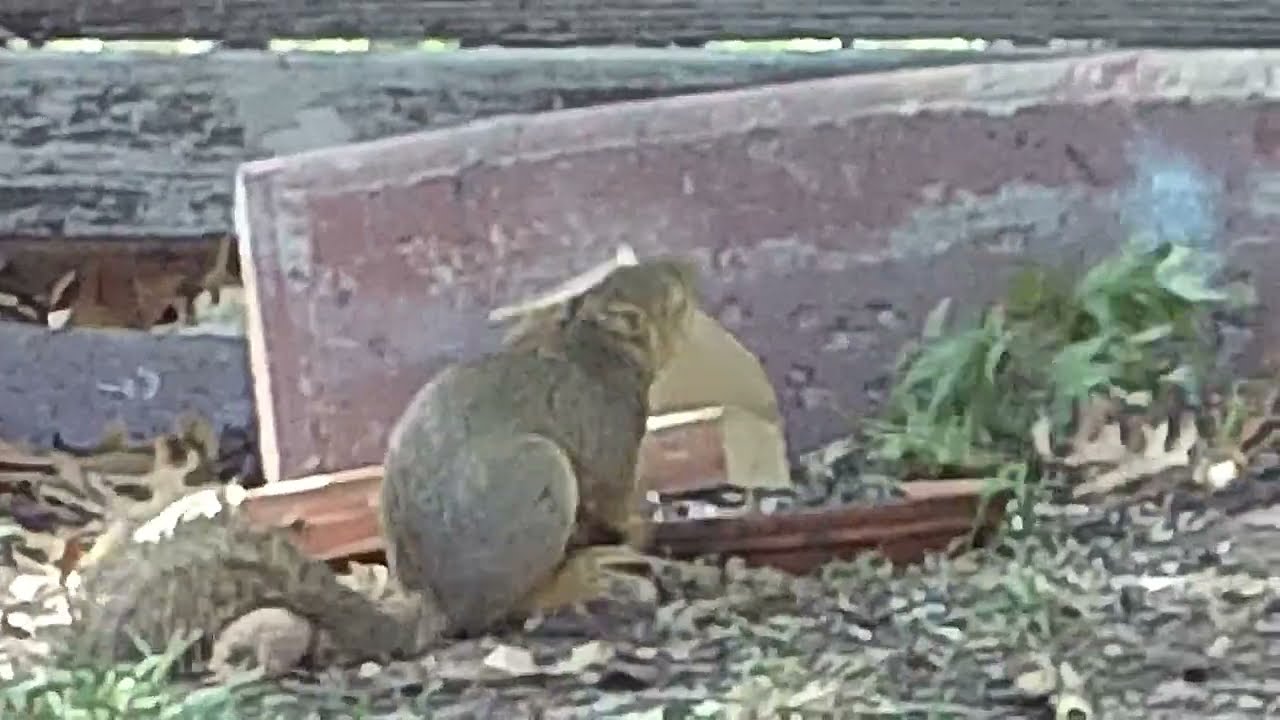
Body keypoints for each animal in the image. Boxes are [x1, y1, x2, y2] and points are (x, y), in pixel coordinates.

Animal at [380, 257, 700, 637]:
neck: (593, 344)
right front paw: (640, 526)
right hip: (536, 479)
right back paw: (579, 579)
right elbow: (612, 500)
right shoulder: (612, 429)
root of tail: (435, 601)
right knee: (510, 605)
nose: (687, 266)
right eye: (677, 301)